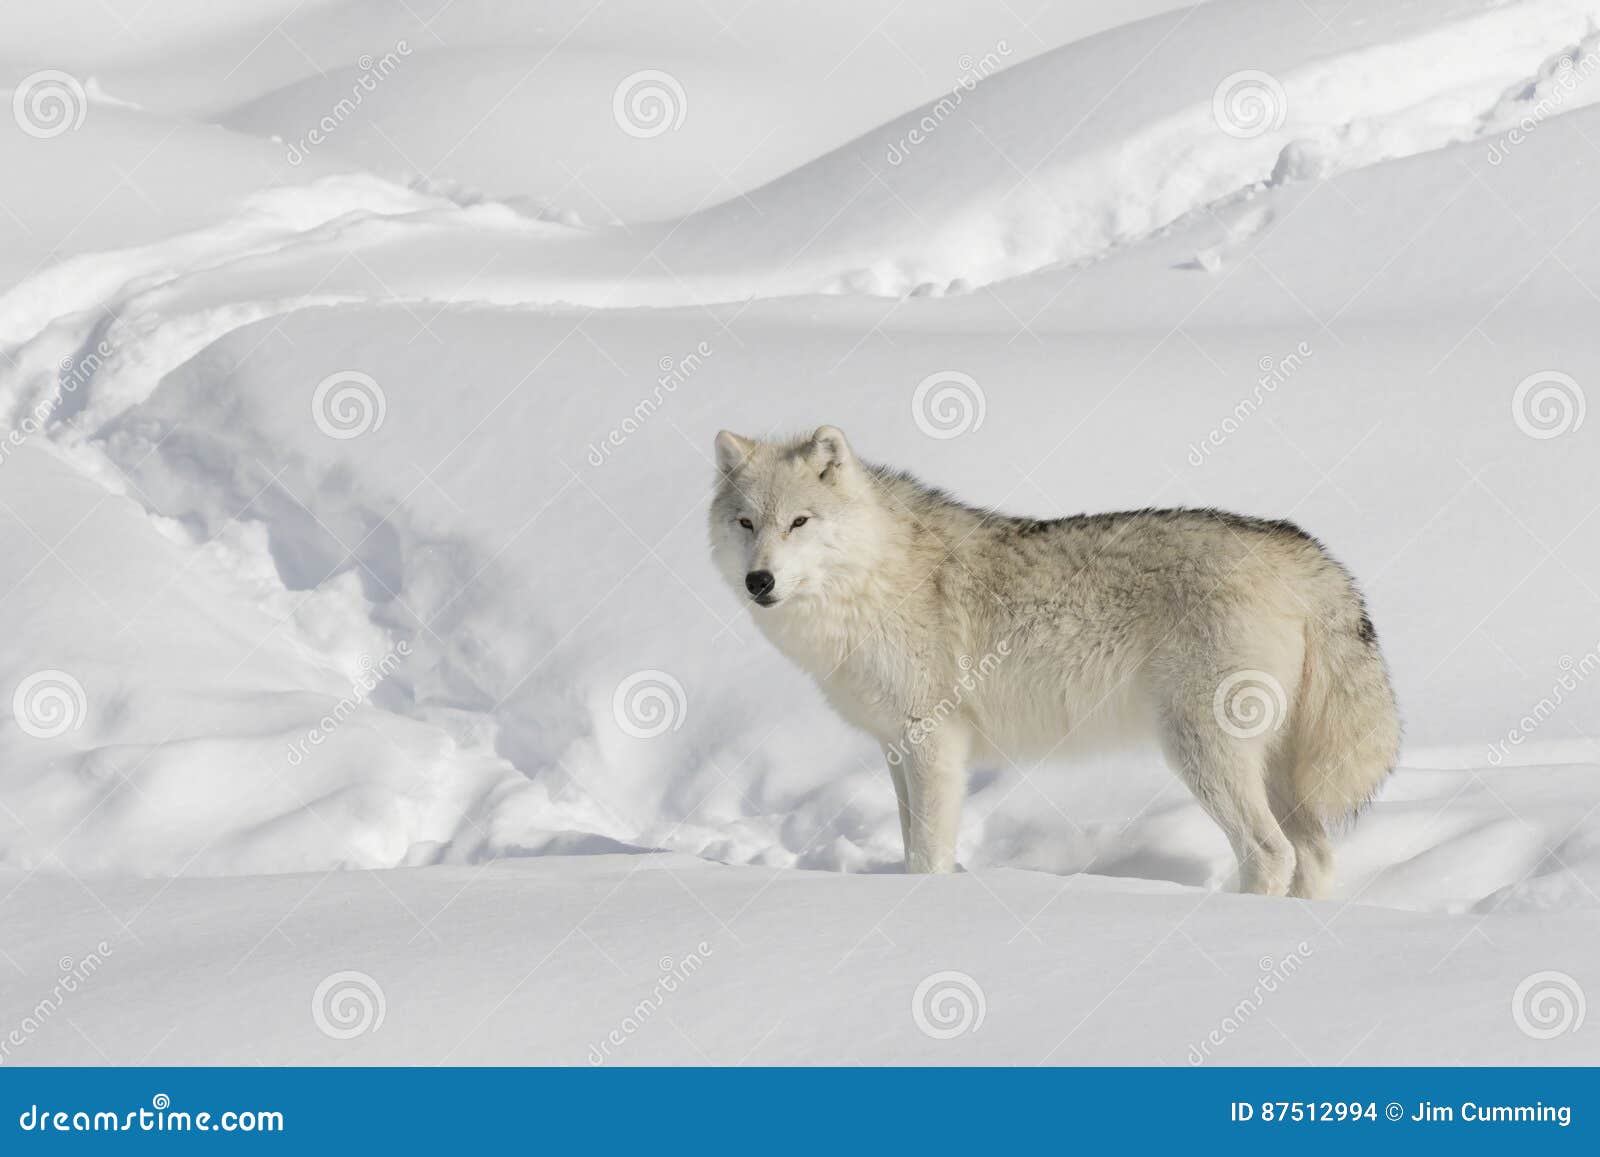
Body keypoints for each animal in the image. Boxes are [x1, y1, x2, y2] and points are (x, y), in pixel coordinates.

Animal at [708, 426, 1400, 898]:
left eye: (799, 522)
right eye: (745, 523)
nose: (759, 582)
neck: (871, 578)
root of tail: (1302, 552)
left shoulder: (934, 744)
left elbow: (928, 853)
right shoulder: (896, 748)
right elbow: (910, 846)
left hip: (1202, 752)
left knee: (1270, 852)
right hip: (1274, 767)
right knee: (1315, 854)